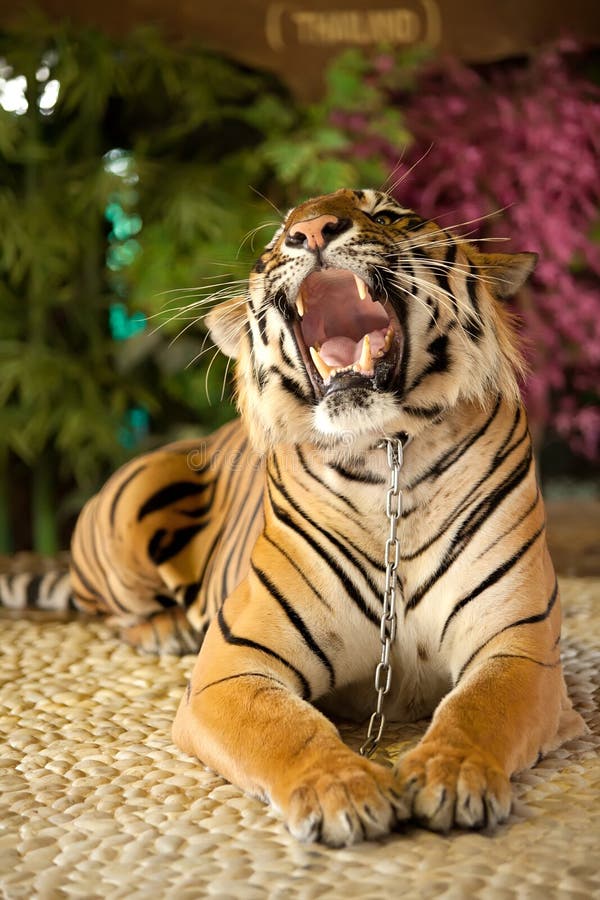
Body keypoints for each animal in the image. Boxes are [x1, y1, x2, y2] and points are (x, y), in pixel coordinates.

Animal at [6, 188, 586, 846]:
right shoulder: (234, 664)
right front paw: (345, 790)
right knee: (110, 607)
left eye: (387, 215)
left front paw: (453, 773)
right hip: (136, 498)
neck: (389, 454)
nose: (311, 230)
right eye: (278, 234)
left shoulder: (518, 647)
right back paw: (163, 629)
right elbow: (284, 727)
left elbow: (476, 708)